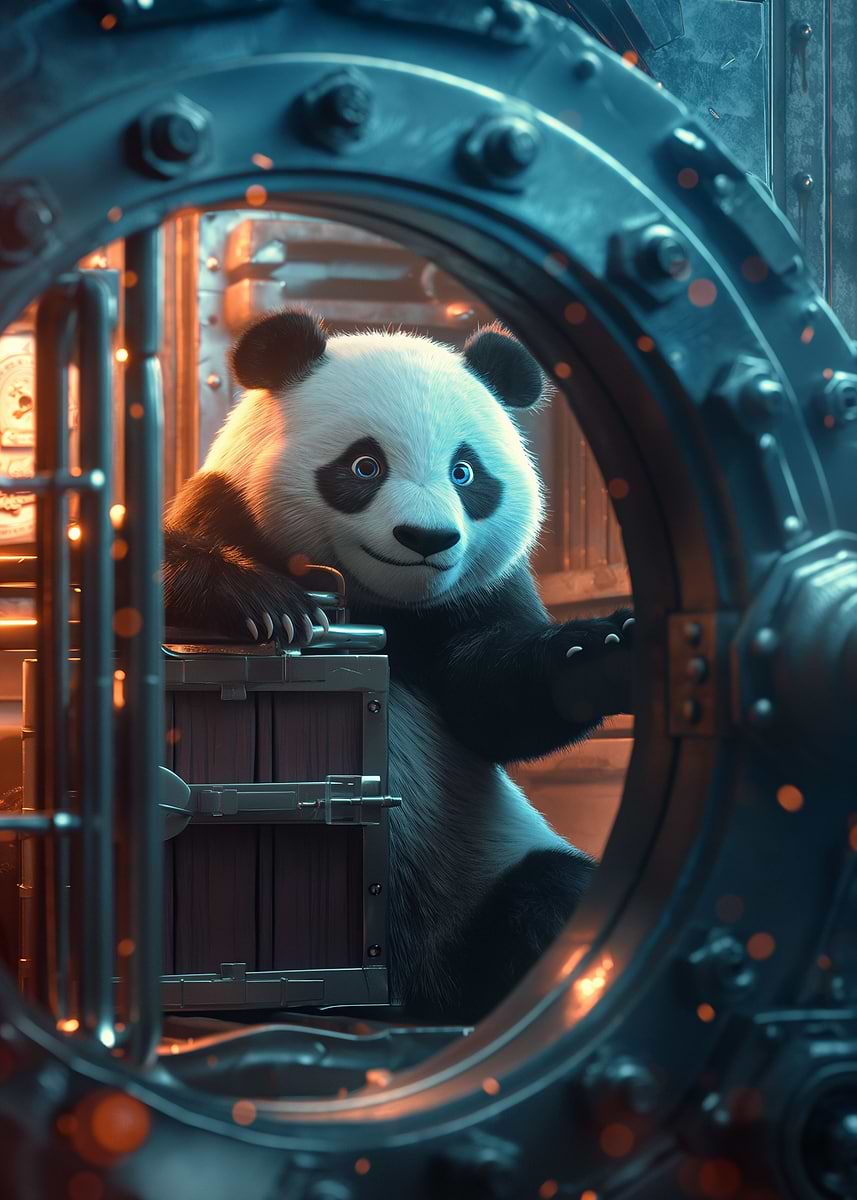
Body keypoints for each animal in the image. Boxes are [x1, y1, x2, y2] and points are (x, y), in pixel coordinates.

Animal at [163, 307, 634, 1024]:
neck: (385, 602)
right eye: (364, 465)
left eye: (465, 473)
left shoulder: (480, 594)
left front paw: (600, 655)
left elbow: (493, 703)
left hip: (483, 871)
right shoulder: (225, 507)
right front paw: (262, 601)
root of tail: (411, 991)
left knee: (551, 895)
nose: (427, 539)